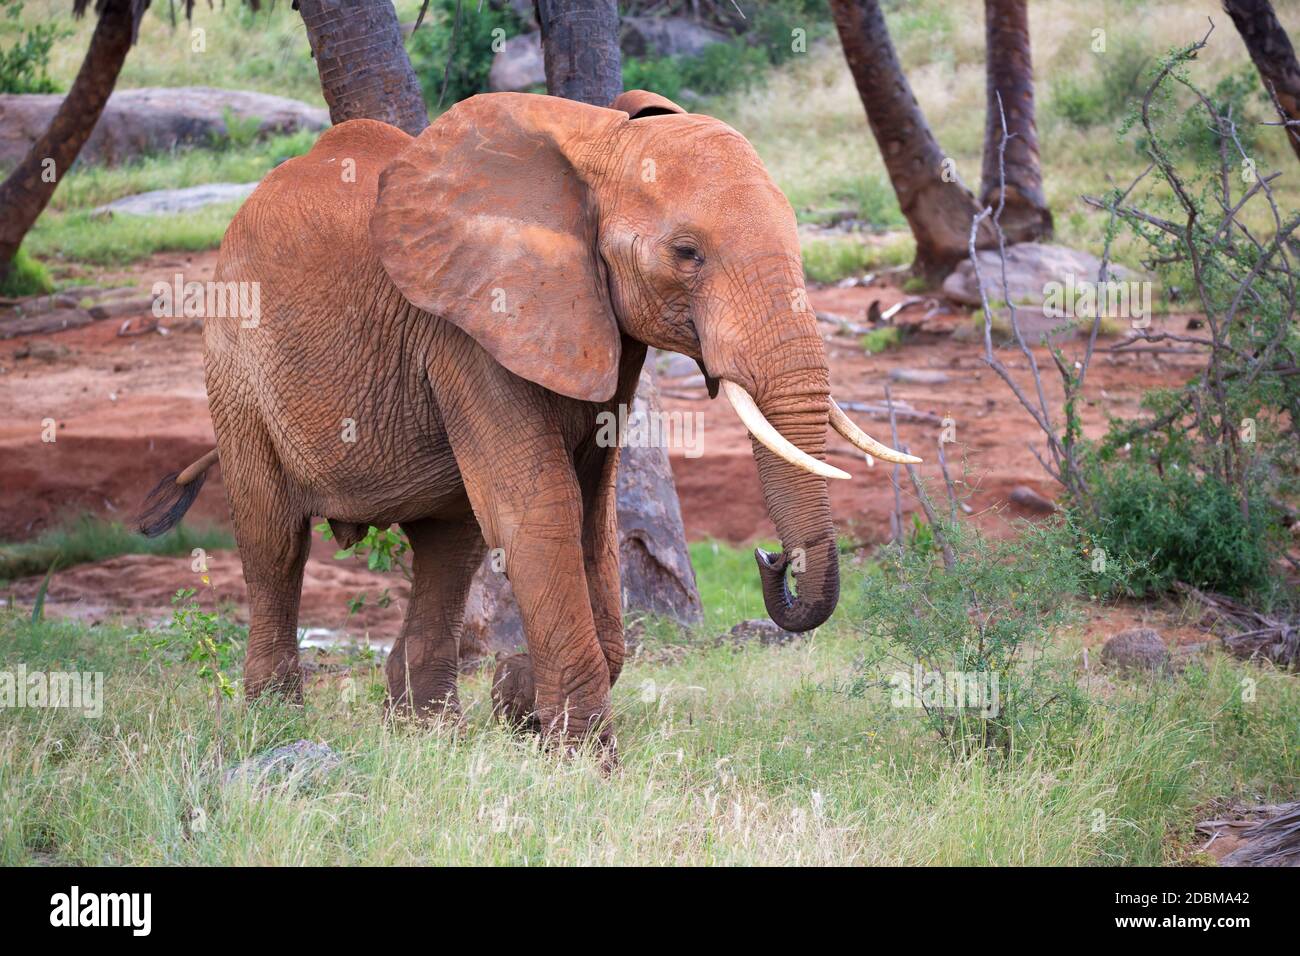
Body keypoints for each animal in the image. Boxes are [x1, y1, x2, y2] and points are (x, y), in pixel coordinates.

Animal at [137, 89, 916, 755]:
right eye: (687, 254)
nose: (772, 560)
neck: (601, 141)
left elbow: (593, 512)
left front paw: (519, 703)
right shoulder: (472, 326)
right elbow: (540, 507)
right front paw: (583, 760)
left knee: (448, 546)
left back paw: (428, 734)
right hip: (234, 360)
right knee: (274, 538)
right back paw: (277, 725)